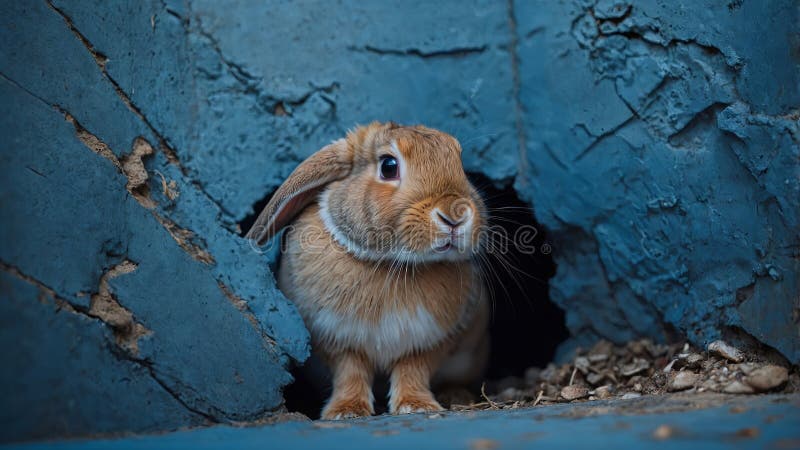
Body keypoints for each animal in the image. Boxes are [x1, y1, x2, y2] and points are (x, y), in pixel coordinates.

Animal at [246, 122, 489, 419]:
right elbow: (350, 372)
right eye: (388, 166)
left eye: (459, 162)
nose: (456, 215)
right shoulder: (336, 340)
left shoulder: (430, 342)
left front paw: (416, 405)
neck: (394, 263)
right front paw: (346, 411)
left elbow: (413, 370)